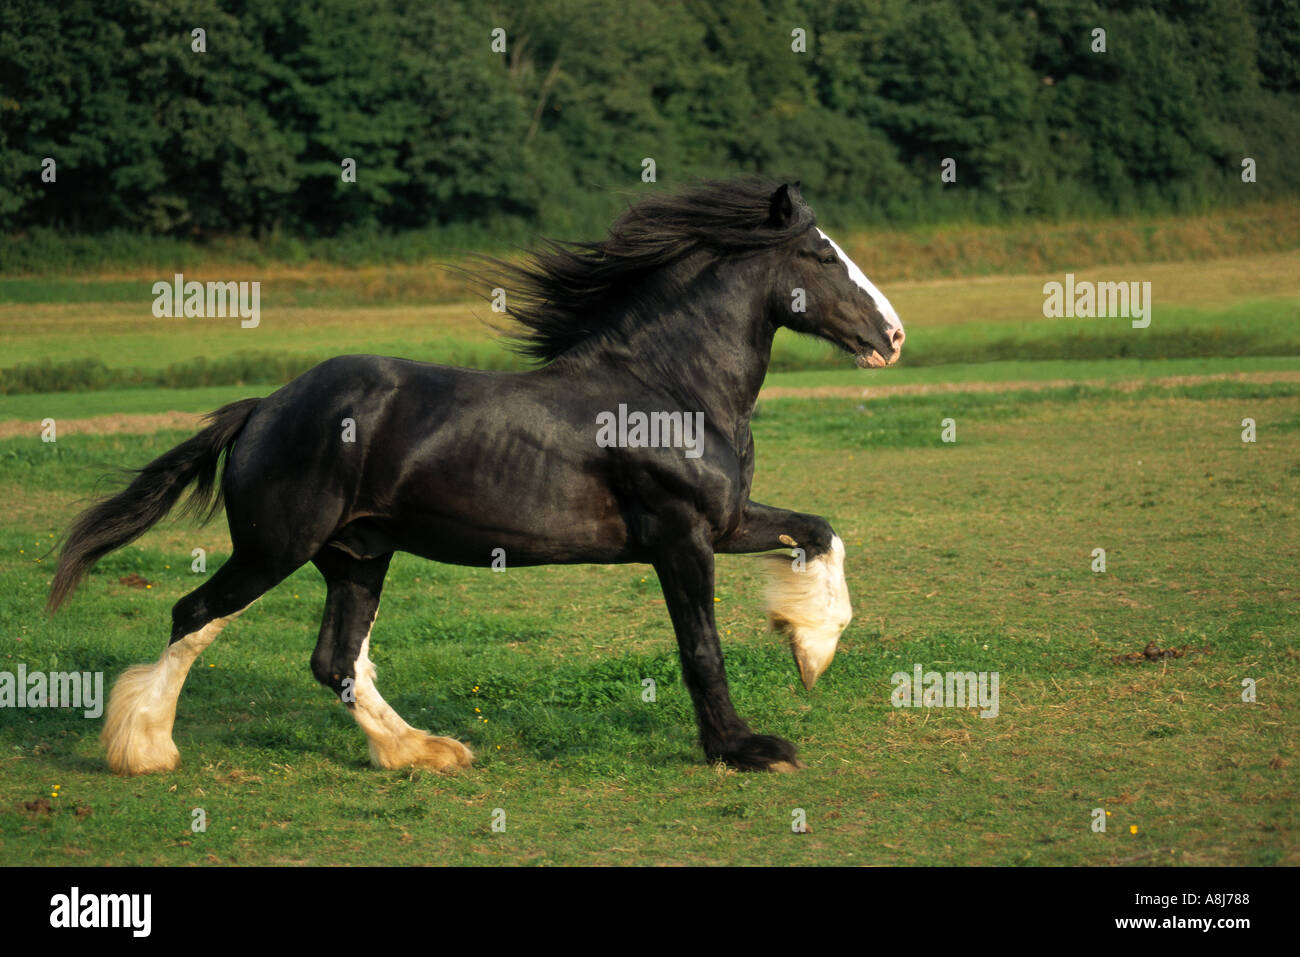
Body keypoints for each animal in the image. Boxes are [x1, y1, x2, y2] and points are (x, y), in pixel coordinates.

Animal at [47, 176, 904, 775]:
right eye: (821, 255)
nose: (893, 336)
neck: (668, 390)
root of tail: (265, 407)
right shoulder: (681, 536)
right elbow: (702, 646)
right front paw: (748, 746)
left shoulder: (727, 521)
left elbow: (821, 531)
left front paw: (811, 651)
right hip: (274, 548)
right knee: (195, 615)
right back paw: (146, 750)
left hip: (358, 555)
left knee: (336, 659)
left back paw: (426, 751)